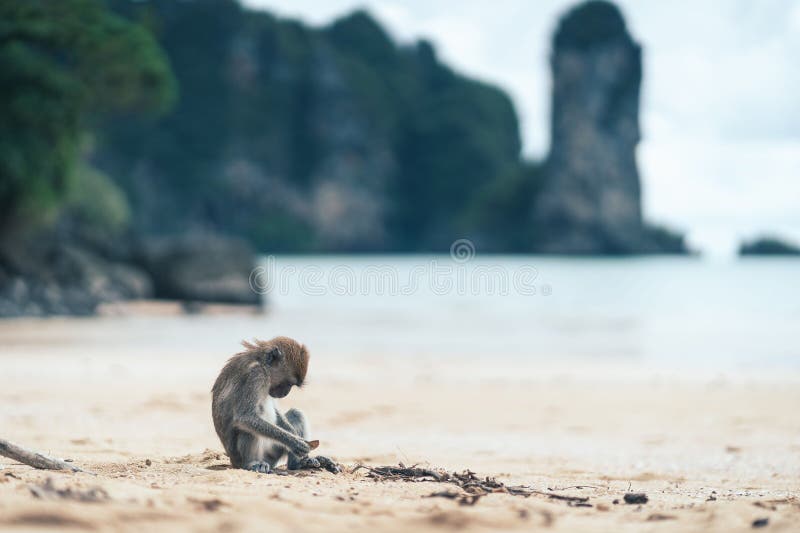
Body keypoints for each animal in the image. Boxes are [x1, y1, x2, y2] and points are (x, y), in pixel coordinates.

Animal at [211, 336, 339, 474]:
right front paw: (293, 442)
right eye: (288, 383)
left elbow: (276, 410)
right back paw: (251, 464)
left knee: (296, 413)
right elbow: (245, 417)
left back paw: (297, 464)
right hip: (246, 458)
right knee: (247, 428)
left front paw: (294, 437)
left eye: (291, 385)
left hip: (271, 454)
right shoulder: (256, 375)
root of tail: (232, 461)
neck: (260, 362)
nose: (285, 393)